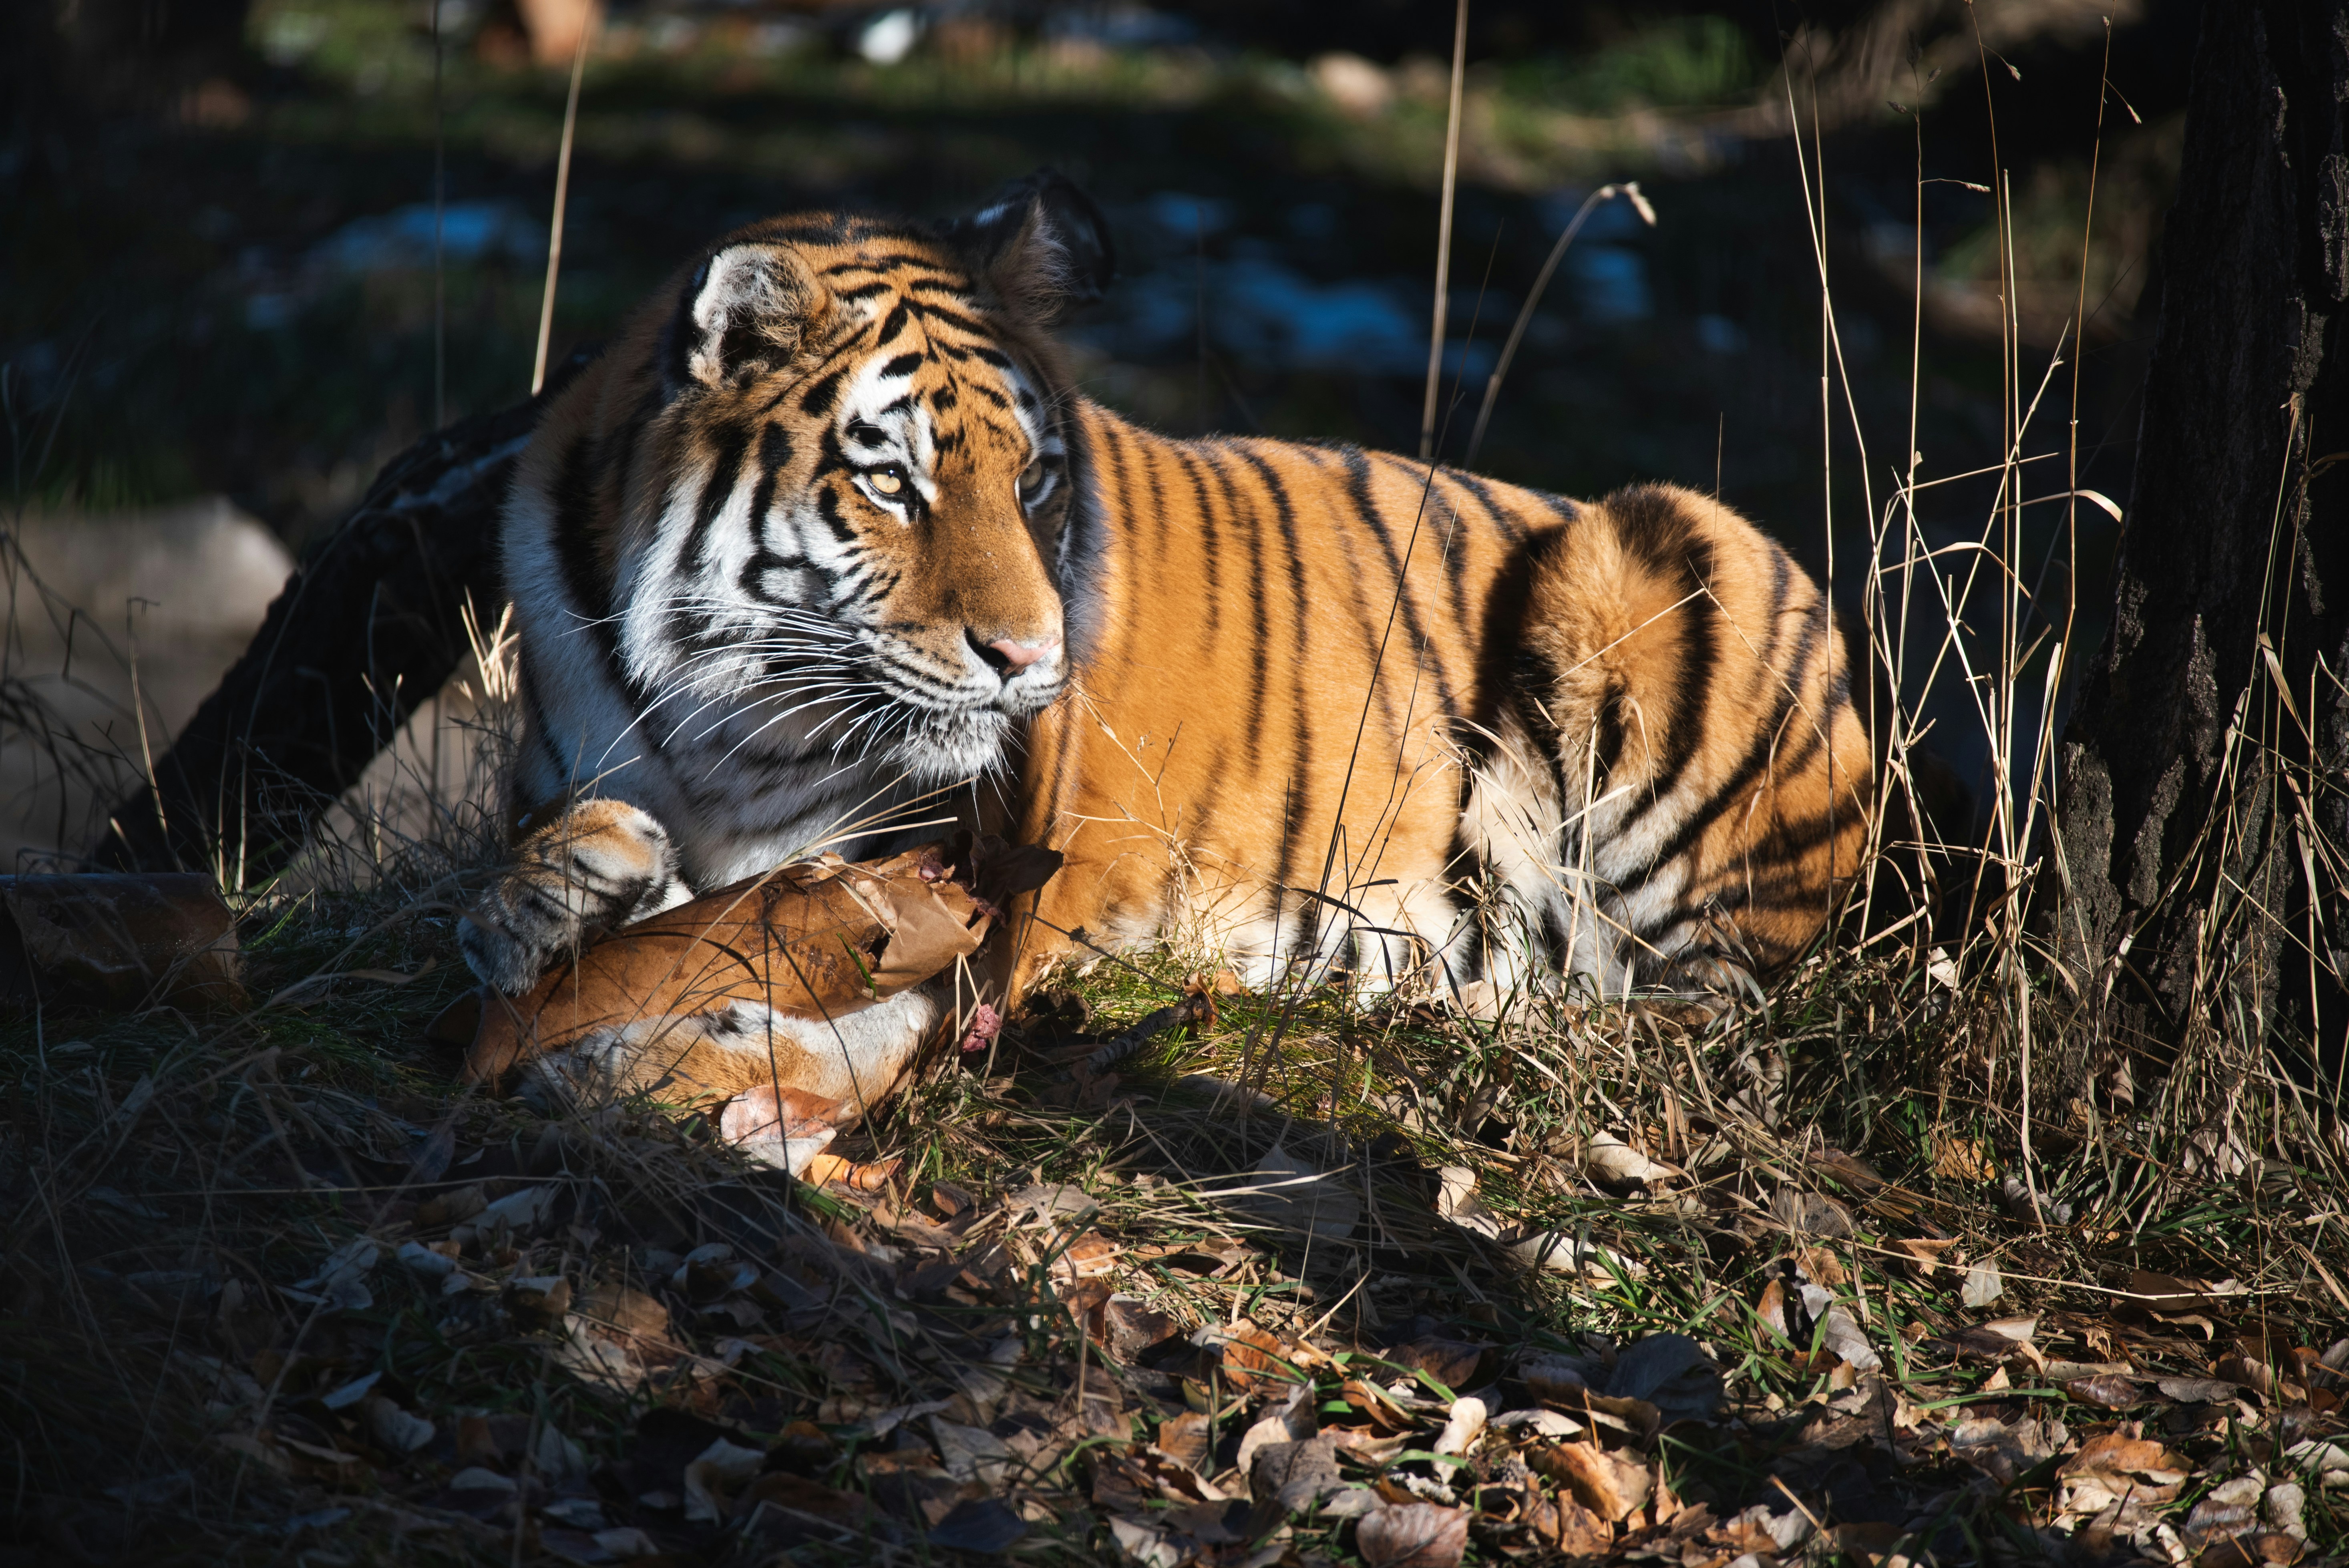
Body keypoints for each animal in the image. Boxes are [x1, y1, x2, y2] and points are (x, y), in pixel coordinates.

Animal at [459, 171, 1872, 1114]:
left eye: (1030, 480)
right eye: (895, 484)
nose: (1030, 660)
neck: (730, 722)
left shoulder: (952, 909)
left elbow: (822, 1025)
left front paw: (635, 1064)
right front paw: (552, 906)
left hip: (1669, 547)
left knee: (1666, 1005)